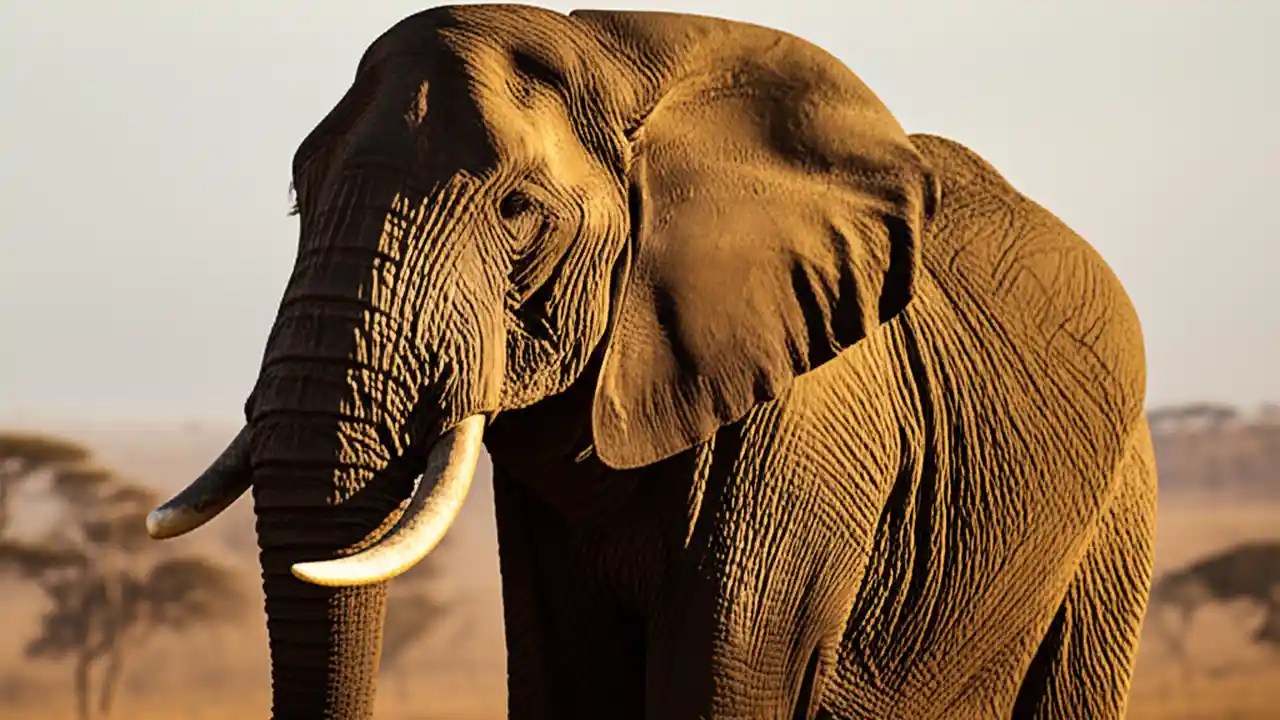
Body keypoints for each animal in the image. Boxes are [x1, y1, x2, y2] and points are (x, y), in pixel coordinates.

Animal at [146, 5, 1158, 719]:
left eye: (518, 211)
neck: (611, 59)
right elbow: (567, 671)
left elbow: (721, 671)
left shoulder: (807, 424)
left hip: (1113, 525)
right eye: (298, 195)